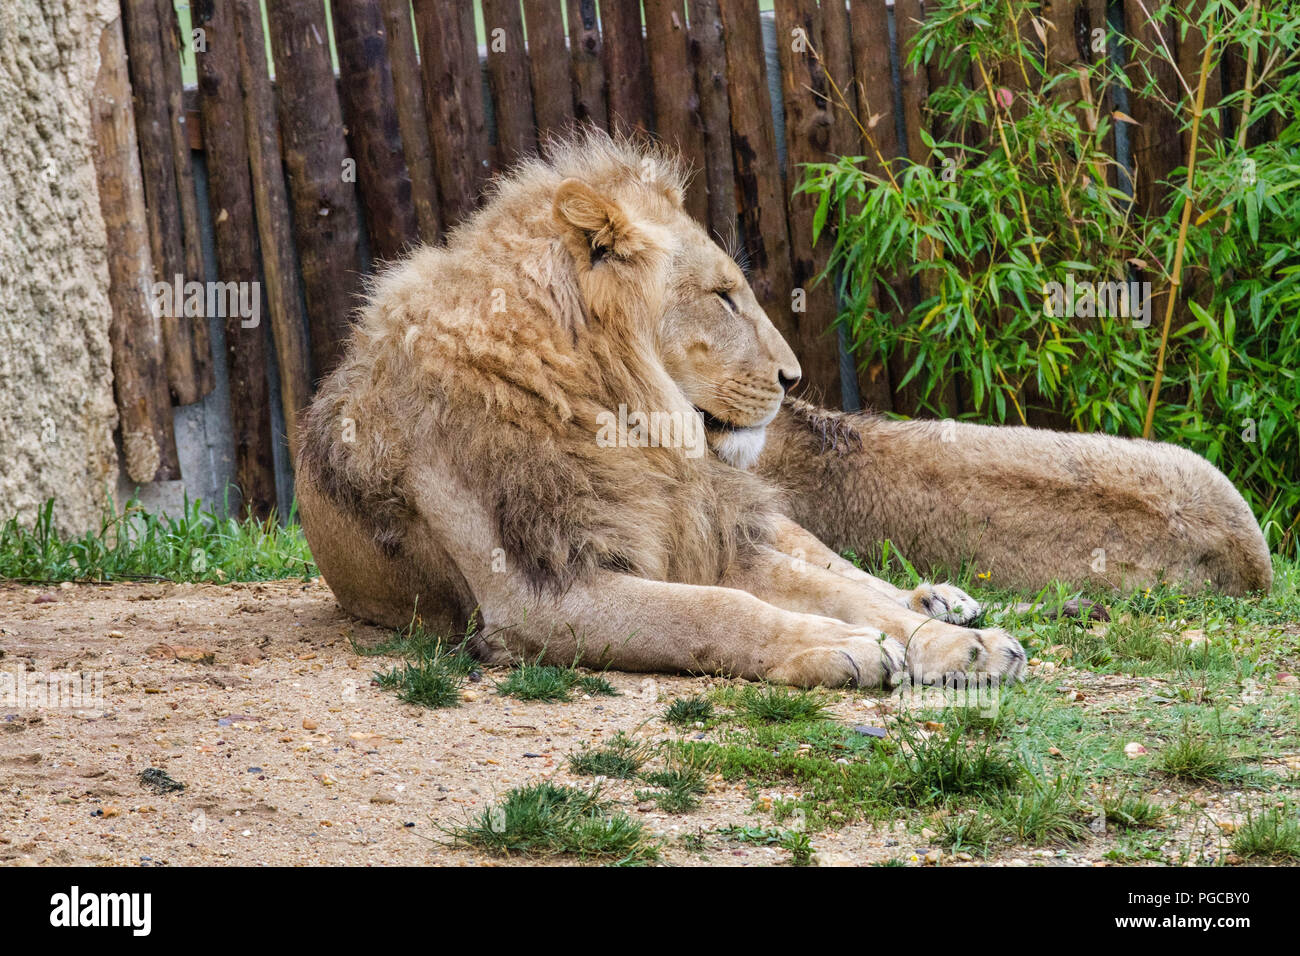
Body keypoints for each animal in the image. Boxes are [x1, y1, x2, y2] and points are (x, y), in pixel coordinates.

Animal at [296, 130, 1027, 688]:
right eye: (723, 297)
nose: (793, 378)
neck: (617, 416)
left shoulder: (709, 537)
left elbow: (833, 590)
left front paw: (959, 647)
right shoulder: (539, 597)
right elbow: (719, 611)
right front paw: (840, 645)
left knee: (847, 568)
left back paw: (945, 601)